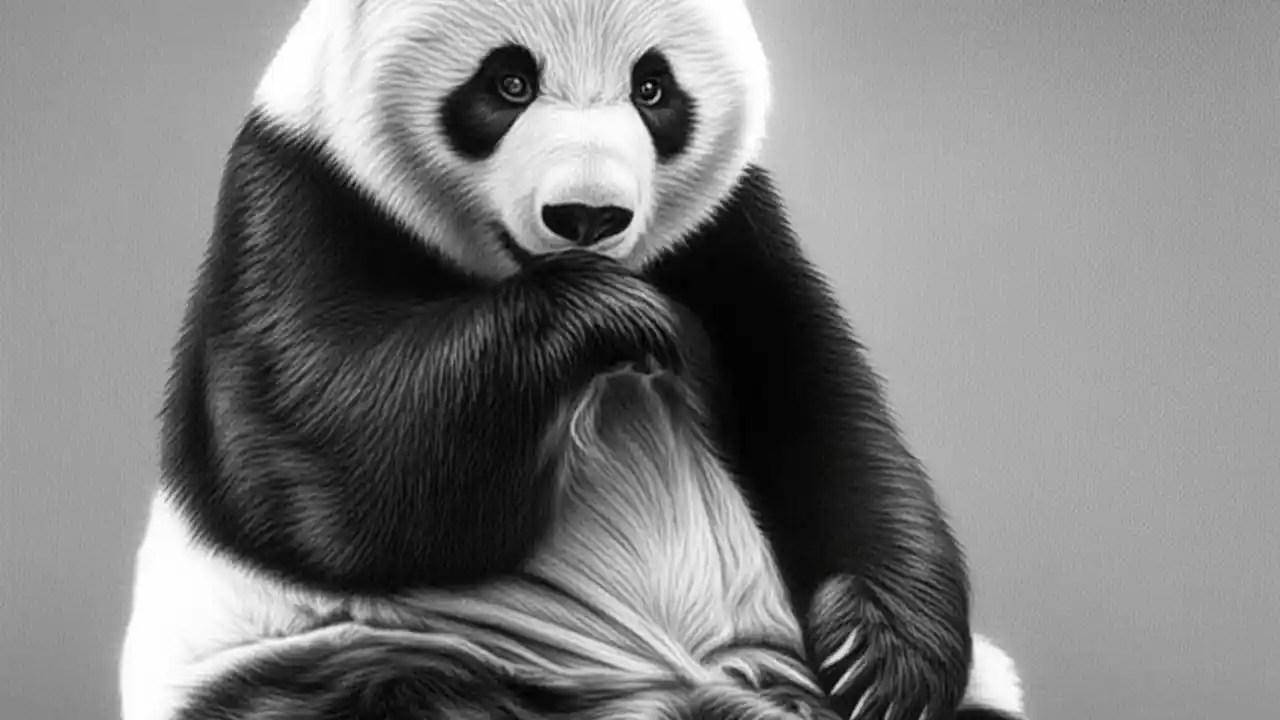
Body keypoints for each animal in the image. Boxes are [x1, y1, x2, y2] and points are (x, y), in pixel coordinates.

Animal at [119, 1, 1030, 719]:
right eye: (508, 83)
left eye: (654, 89)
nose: (586, 216)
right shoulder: (298, 192)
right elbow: (324, 468)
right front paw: (618, 316)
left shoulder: (733, 231)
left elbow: (825, 417)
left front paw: (882, 657)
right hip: (360, 654)